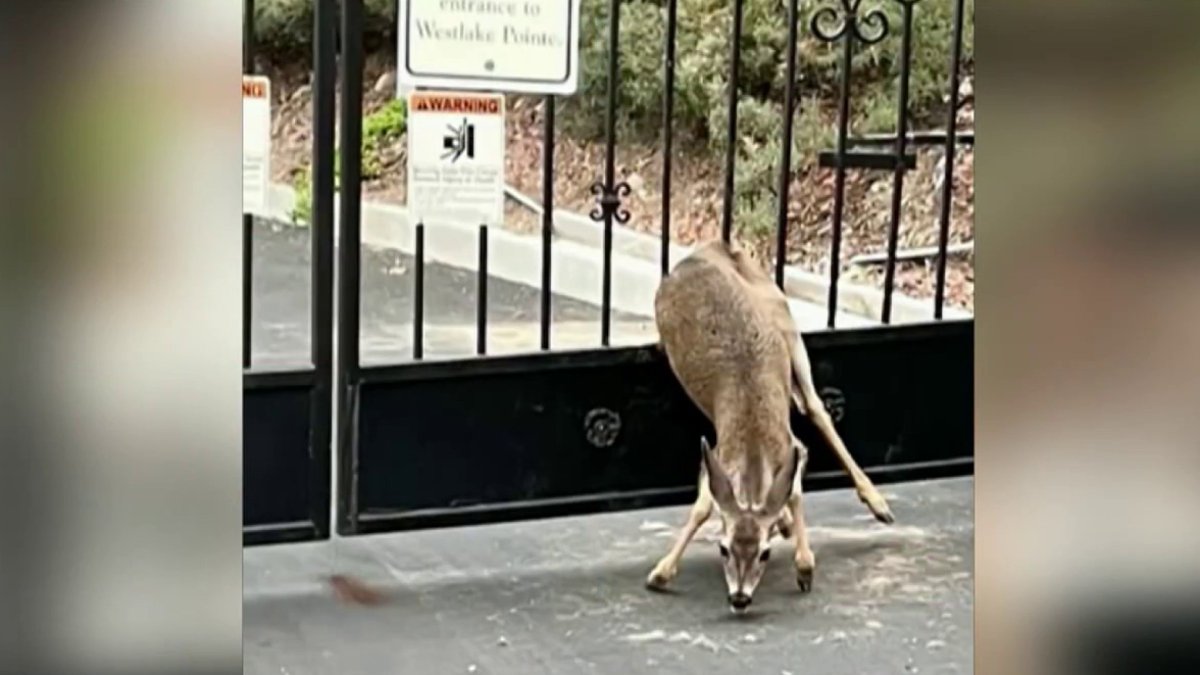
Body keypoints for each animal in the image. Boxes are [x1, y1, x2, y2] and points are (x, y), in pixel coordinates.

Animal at [645, 240, 894, 613]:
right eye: (723, 548)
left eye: (764, 554)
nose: (740, 598)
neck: (754, 443)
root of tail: (714, 247)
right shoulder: (719, 452)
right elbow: (706, 504)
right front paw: (661, 572)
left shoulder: (785, 447)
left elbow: (795, 482)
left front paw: (804, 566)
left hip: (787, 322)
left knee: (816, 407)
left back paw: (879, 504)